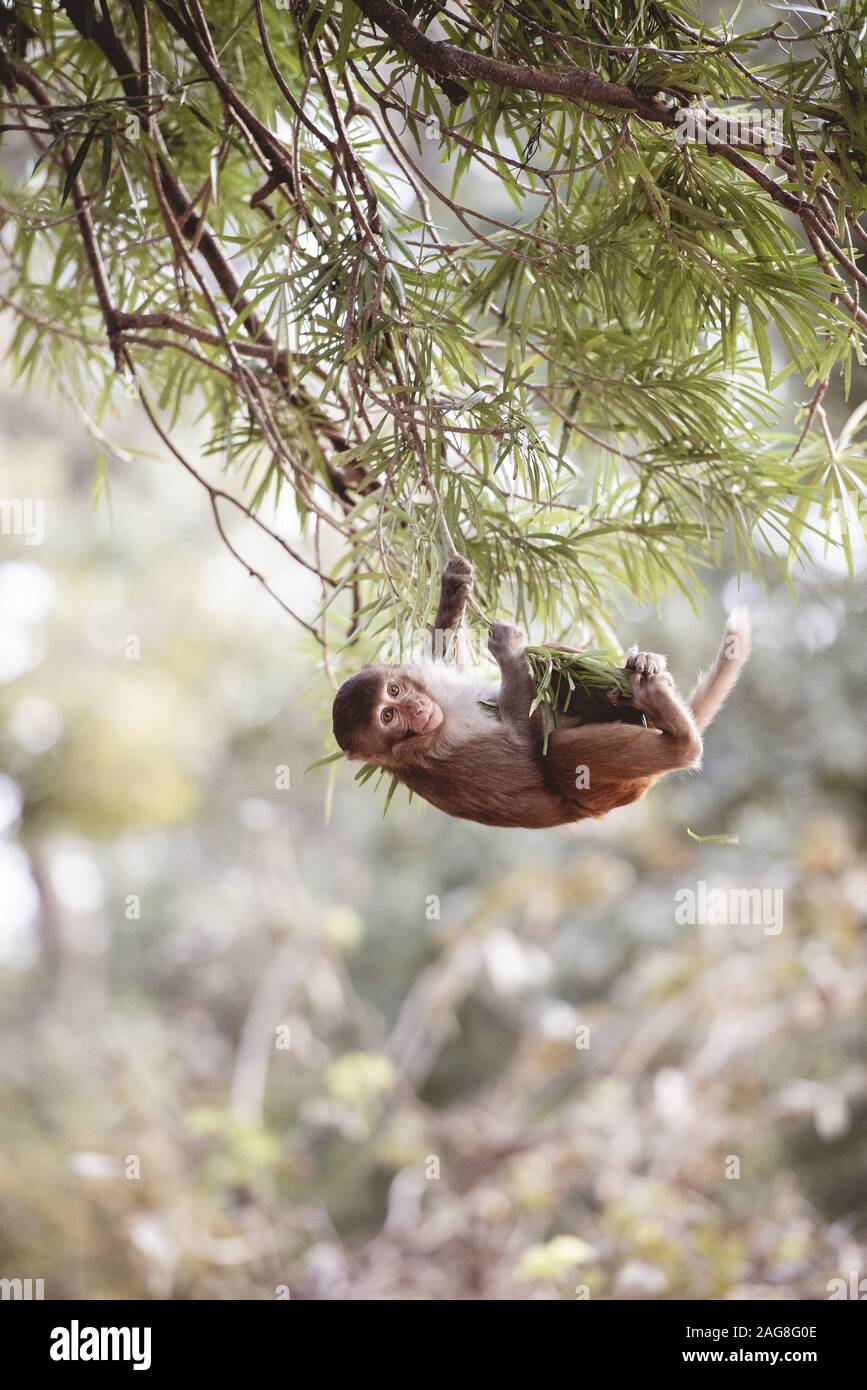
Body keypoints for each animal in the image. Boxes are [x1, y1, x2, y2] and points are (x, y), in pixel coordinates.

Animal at [332, 554, 751, 830]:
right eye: (388, 716)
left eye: (395, 691)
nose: (416, 709)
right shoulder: (437, 749)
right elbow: (525, 750)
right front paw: (508, 649)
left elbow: (448, 658)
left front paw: (452, 587)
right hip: (601, 790)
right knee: (560, 755)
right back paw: (678, 735)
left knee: (559, 668)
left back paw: (635, 679)